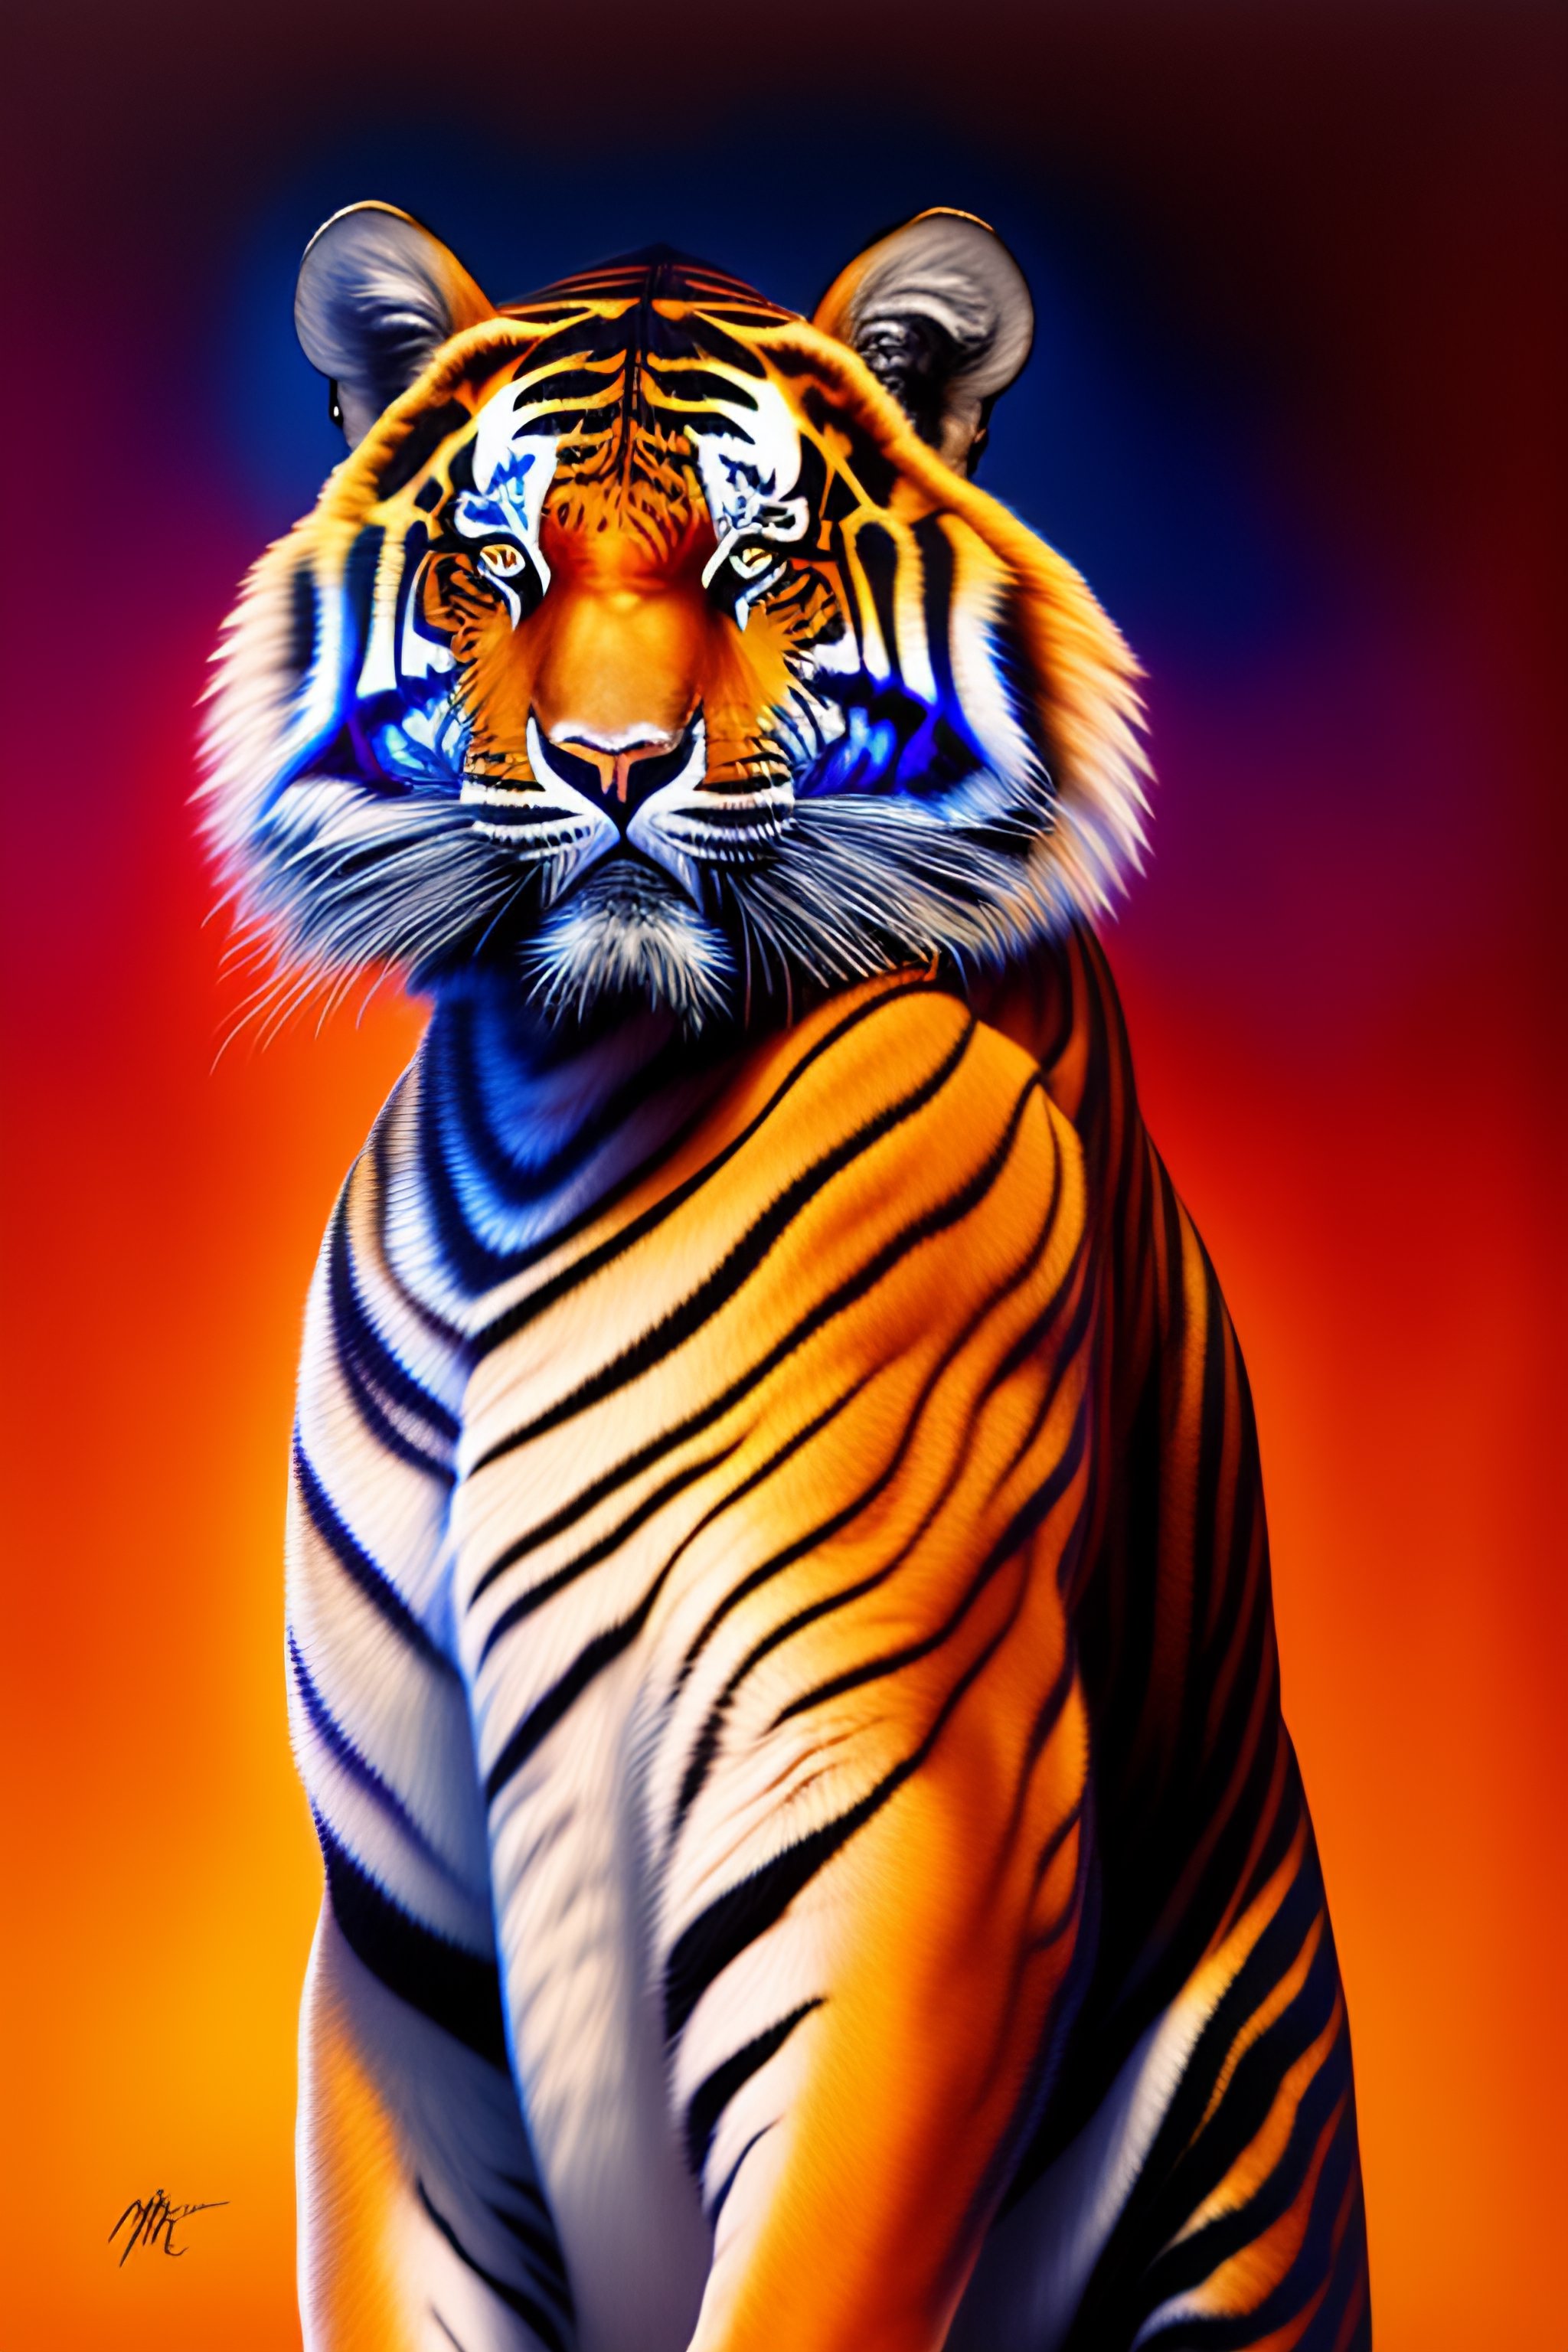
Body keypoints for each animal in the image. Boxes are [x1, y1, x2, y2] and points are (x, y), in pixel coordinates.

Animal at [202, 201, 1371, 2351]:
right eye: (501, 563)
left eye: (756, 563)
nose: (611, 762)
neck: (565, 1086)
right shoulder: (407, 1937)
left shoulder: (916, 1820)